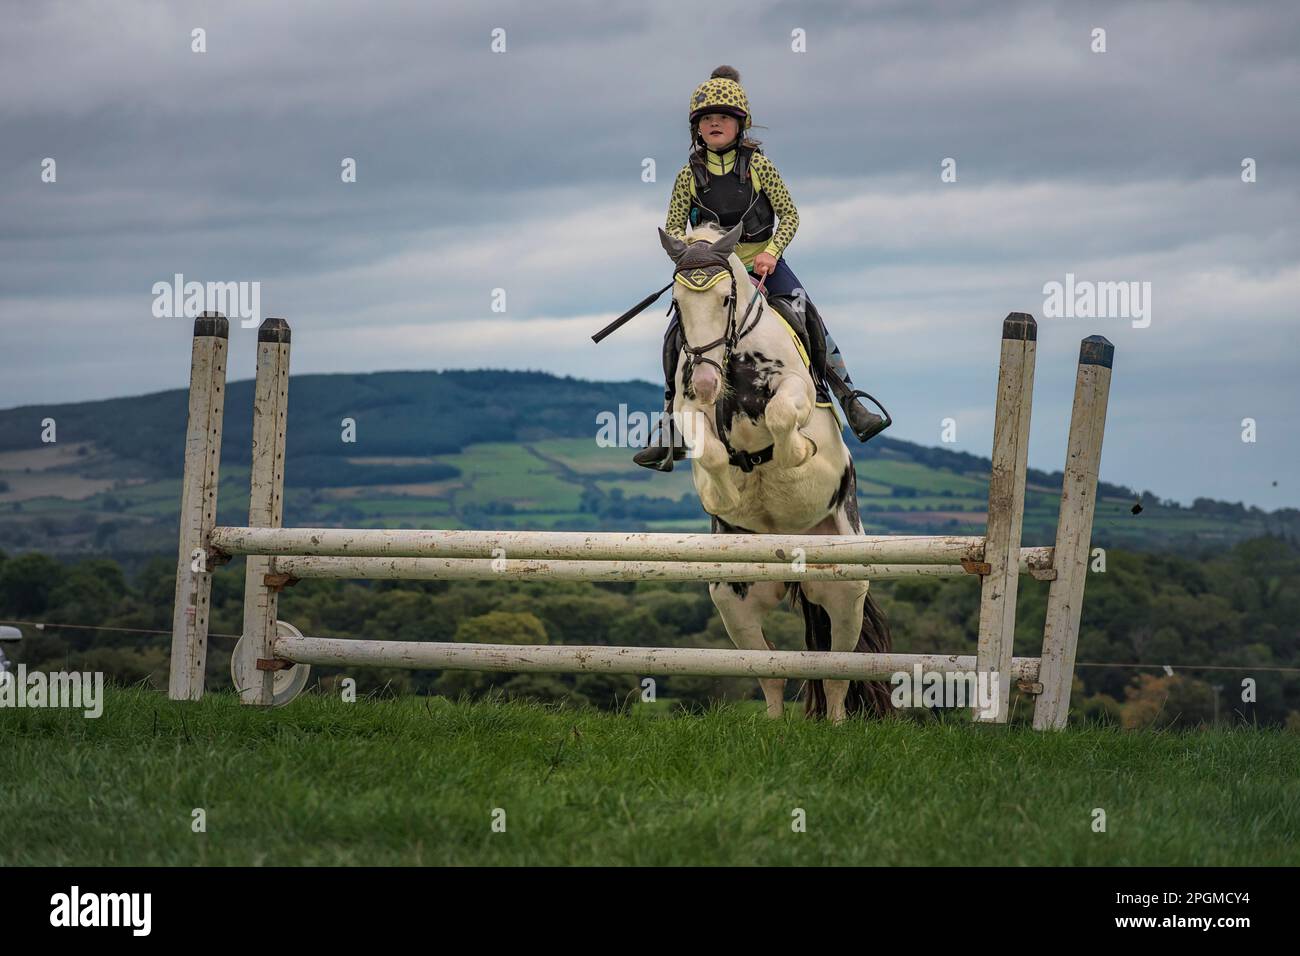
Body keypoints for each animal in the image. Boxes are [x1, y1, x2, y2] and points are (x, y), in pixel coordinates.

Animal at [658, 221, 893, 723]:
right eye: (677, 304)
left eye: (726, 298)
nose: (706, 382)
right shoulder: (689, 410)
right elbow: (710, 451)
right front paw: (726, 496)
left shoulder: (795, 388)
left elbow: (784, 415)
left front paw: (798, 452)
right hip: (734, 601)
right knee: (770, 670)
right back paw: (772, 723)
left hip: (845, 589)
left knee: (838, 671)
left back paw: (838, 724)